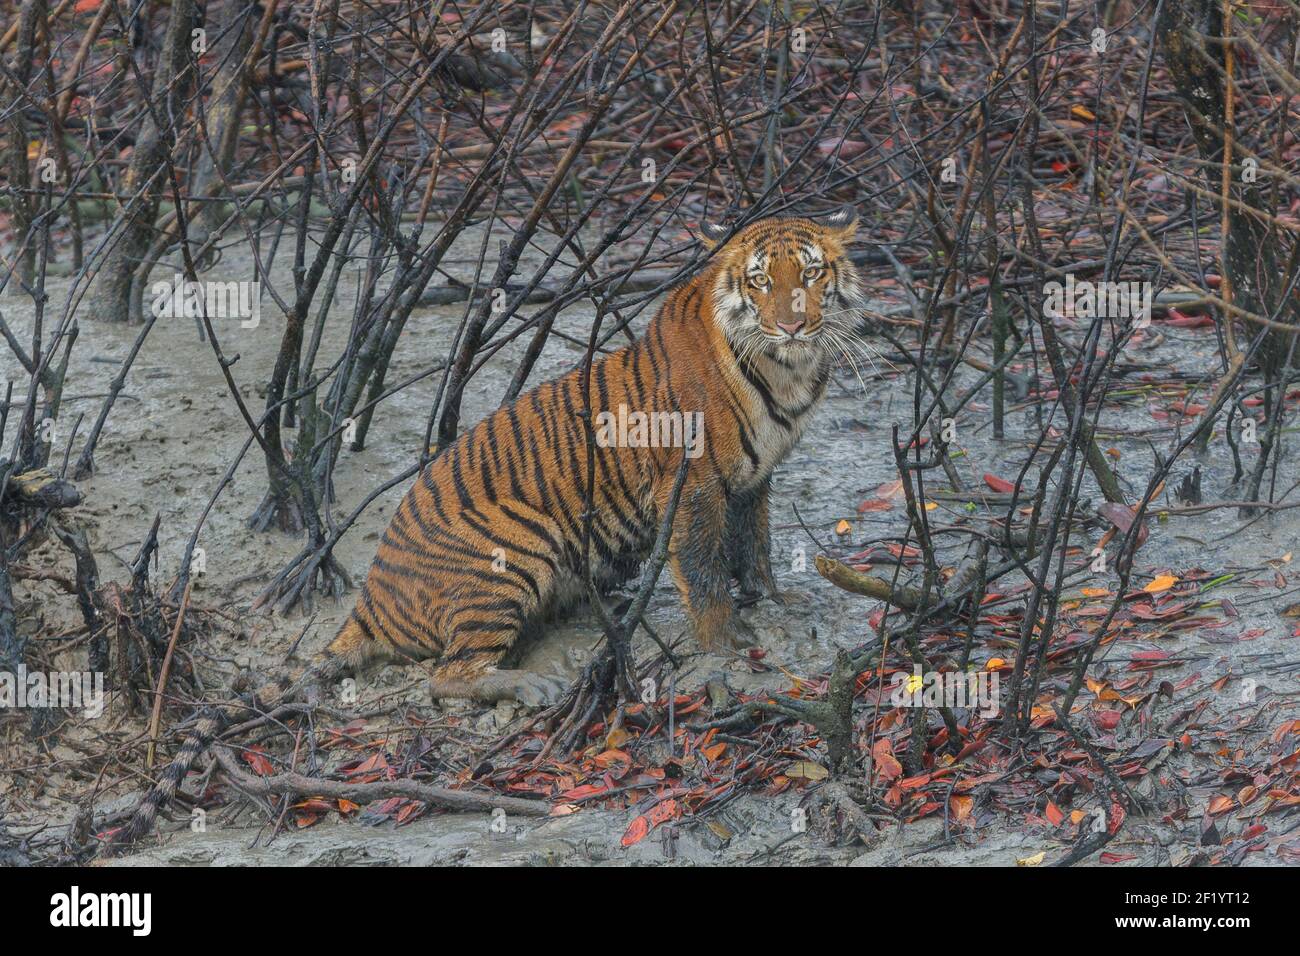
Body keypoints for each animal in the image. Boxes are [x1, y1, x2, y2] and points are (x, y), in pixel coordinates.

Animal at [325, 208, 865, 705]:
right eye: (760, 280)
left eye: (811, 273)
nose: (792, 325)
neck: (787, 373)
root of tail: (367, 603)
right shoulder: (692, 484)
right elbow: (702, 570)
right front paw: (725, 641)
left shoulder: (754, 480)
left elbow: (755, 545)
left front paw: (773, 600)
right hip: (519, 539)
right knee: (447, 674)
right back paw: (532, 684)